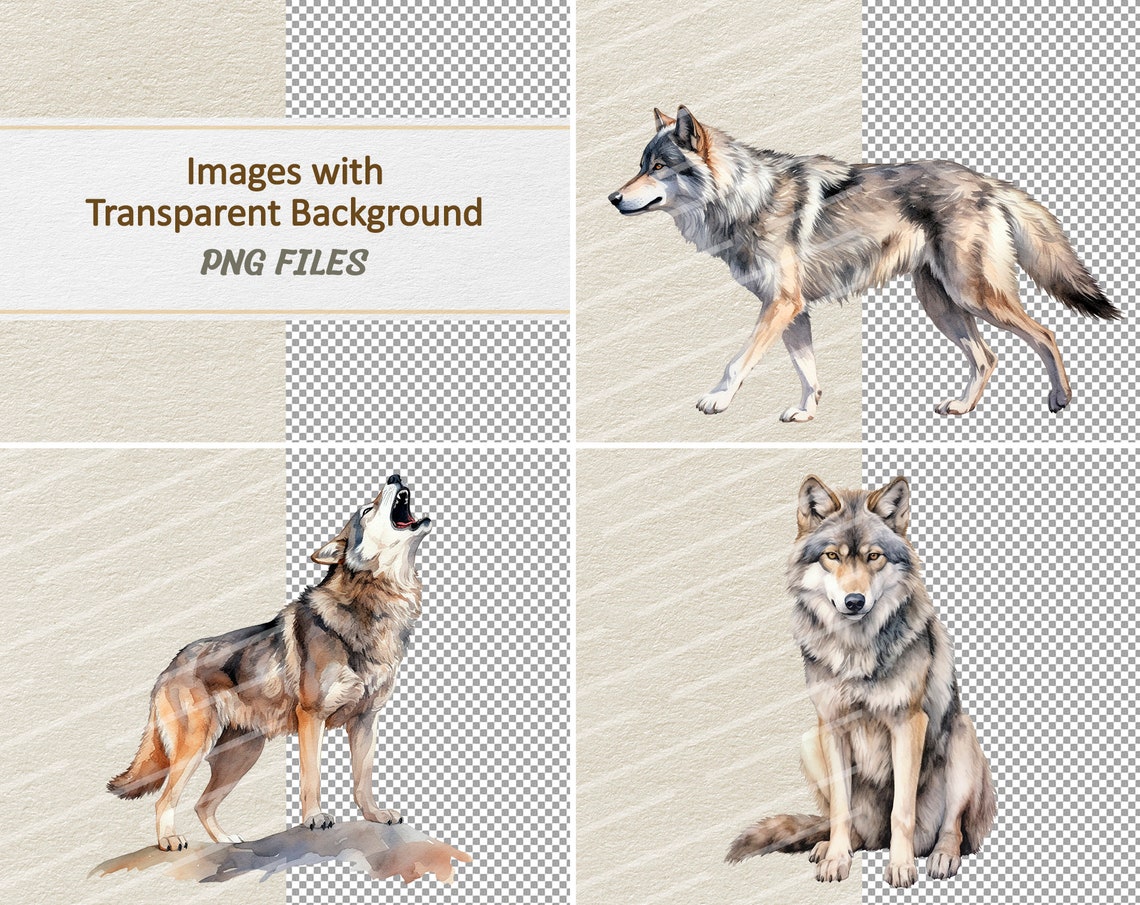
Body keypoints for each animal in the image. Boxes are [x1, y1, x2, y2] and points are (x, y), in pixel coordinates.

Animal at [108, 474, 432, 851]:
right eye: (368, 509)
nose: (395, 476)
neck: (373, 604)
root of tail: (169, 665)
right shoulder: (312, 717)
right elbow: (312, 776)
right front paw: (315, 818)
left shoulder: (366, 720)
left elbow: (362, 779)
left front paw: (374, 815)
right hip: (196, 749)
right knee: (165, 799)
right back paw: (170, 840)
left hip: (243, 755)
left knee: (202, 804)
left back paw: (227, 842)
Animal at [609, 106, 1118, 420]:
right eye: (641, 165)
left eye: (658, 167)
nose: (612, 197)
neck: (743, 199)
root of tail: (986, 181)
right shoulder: (793, 311)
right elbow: (807, 371)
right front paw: (807, 412)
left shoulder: (780, 305)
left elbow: (737, 362)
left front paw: (717, 400)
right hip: (943, 305)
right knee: (987, 356)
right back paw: (963, 408)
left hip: (973, 295)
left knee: (1045, 333)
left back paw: (1061, 397)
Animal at [725, 475, 995, 887]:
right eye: (832, 556)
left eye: (873, 557)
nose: (854, 601)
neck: (856, 651)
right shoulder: (831, 725)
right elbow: (840, 807)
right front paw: (837, 860)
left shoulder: (908, 723)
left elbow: (902, 811)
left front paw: (900, 867)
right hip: (810, 742)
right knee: (849, 825)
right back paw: (830, 846)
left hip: (962, 735)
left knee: (954, 826)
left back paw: (941, 856)